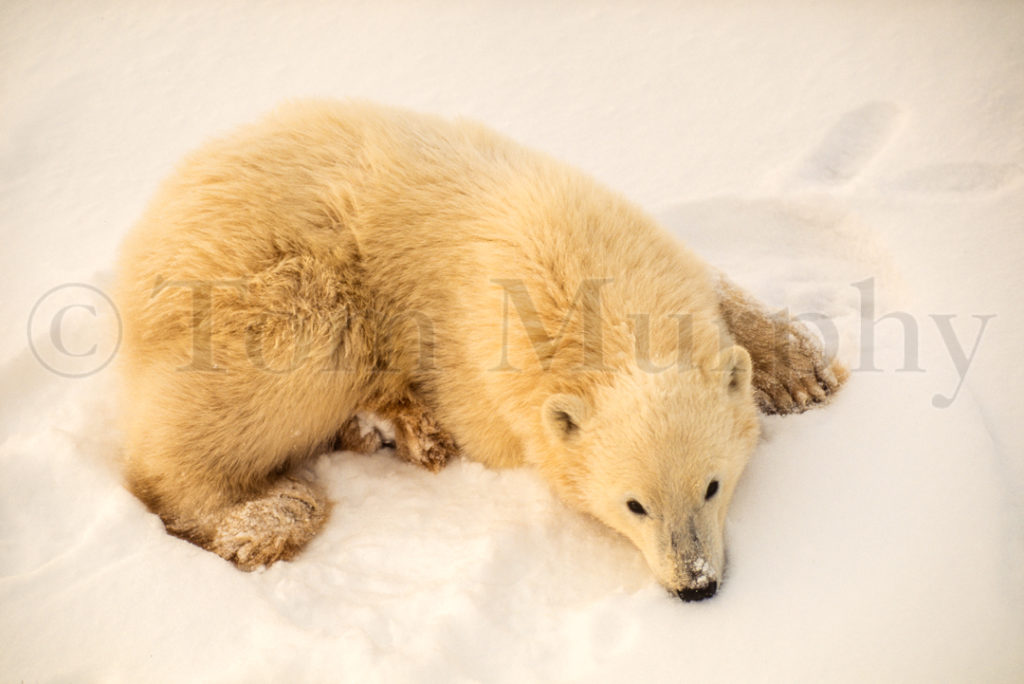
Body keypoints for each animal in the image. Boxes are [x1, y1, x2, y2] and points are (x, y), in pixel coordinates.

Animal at [115, 101, 845, 600]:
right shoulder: (480, 361)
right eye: (633, 504)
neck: (579, 274)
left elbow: (722, 295)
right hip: (268, 285)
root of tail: (145, 238)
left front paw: (802, 372)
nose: (695, 584)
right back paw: (267, 514)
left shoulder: (644, 244)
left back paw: (392, 428)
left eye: (713, 485)